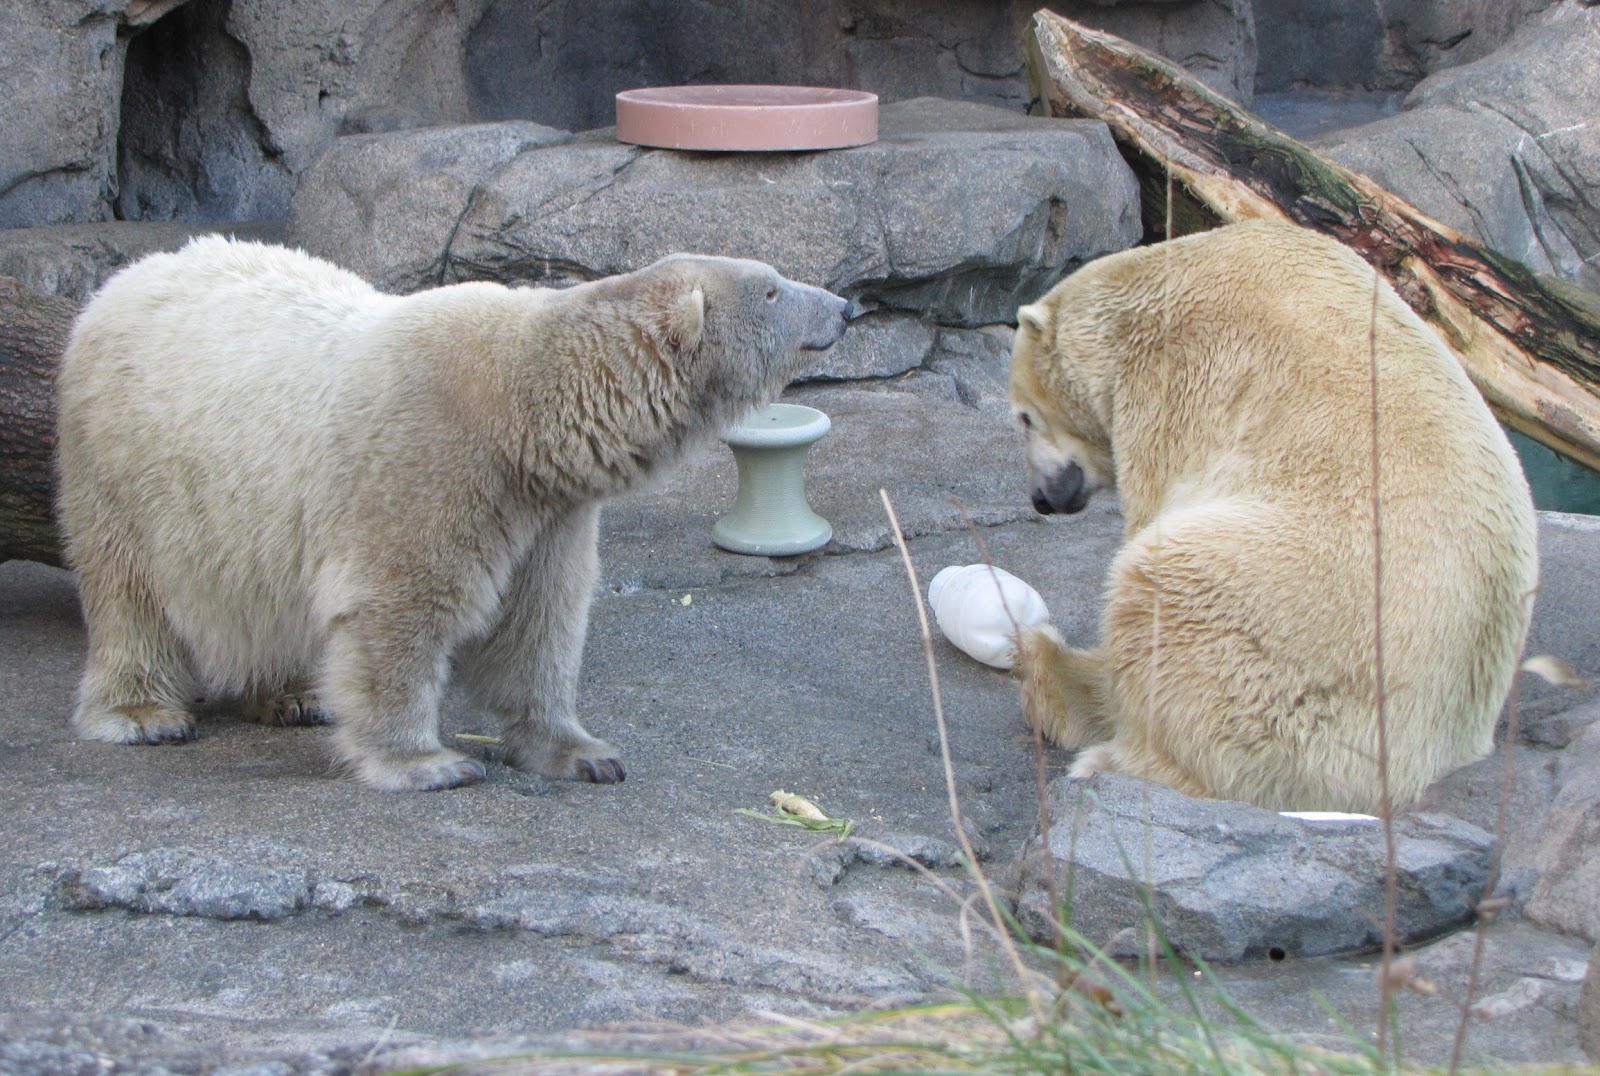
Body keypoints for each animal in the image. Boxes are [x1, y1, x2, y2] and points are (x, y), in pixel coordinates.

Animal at [55, 237, 854, 791]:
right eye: (773, 288)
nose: (845, 307)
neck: (522, 405)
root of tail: (122, 280)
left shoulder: (548, 511)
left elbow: (538, 622)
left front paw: (582, 753)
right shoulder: (428, 463)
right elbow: (399, 608)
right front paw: (426, 762)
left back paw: (293, 696)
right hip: (129, 466)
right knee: (129, 590)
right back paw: (143, 716)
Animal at [1008, 220, 1538, 814]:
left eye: (1024, 418)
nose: (1042, 499)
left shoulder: (1178, 383)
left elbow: (1151, 514)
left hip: (1286, 634)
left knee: (1168, 595)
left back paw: (1078, 715)